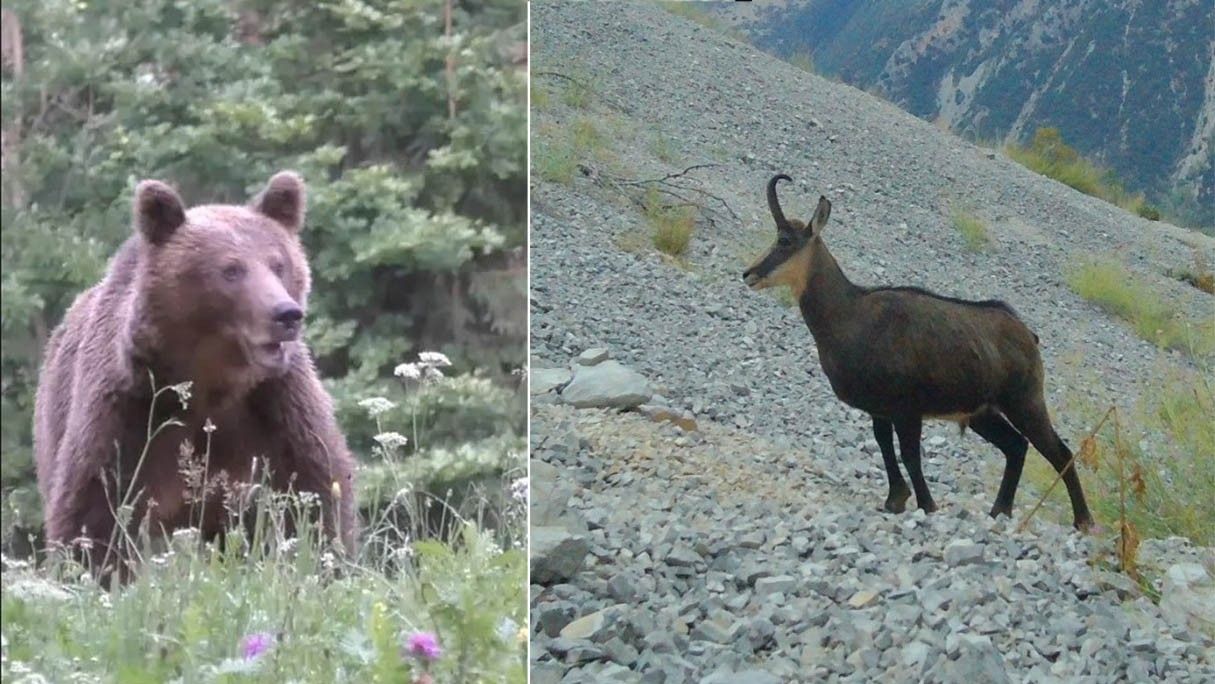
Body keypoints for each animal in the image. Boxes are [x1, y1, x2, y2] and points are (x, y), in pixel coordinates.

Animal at [33, 171, 357, 580]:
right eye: (231, 269)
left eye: (278, 263)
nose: (286, 314)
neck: (210, 382)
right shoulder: (128, 411)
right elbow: (94, 510)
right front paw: (92, 572)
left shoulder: (276, 409)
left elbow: (313, 494)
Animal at [742, 174, 1093, 531]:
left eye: (785, 240)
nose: (749, 274)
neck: (849, 314)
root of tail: (1027, 334)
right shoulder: (881, 409)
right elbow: (883, 444)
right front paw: (896, 499)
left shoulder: (907, 408)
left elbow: (910, 454)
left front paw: (926, 504)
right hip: (982, 412)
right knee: (1016, 446)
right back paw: (1000, 511)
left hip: (1024, 401)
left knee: (1059, 451)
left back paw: (1083, 521)